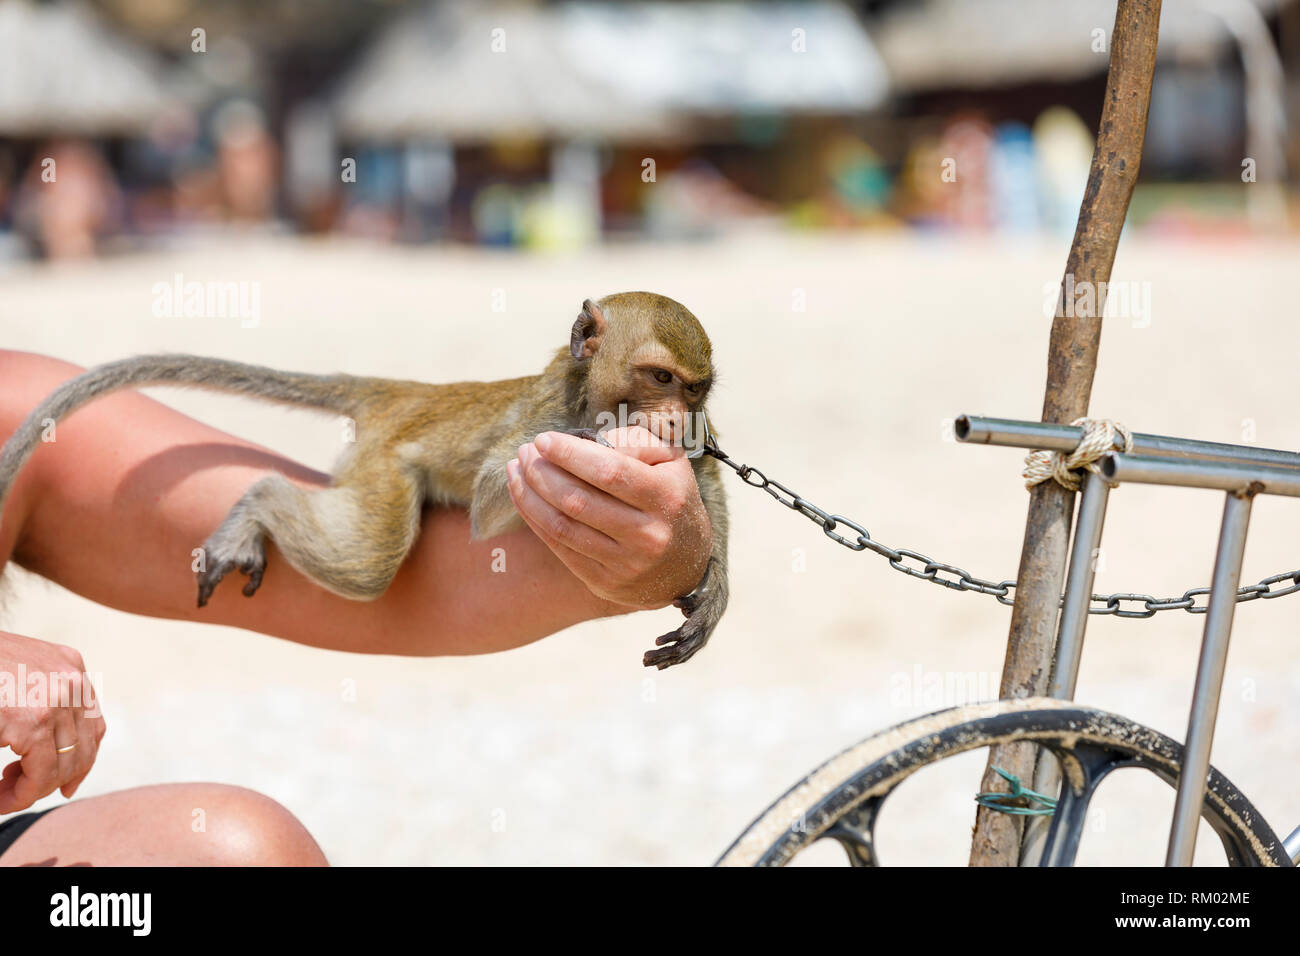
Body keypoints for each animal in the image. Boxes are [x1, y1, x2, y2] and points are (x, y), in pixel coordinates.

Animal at [0, 292, 727, 669]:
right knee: (370, 561)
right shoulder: (550, 407)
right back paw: (260, 498)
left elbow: (708, 485)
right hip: (383, 462)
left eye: (694, 389)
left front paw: (712, 589)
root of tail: (408, 396)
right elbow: (491, 499)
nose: (675, 421)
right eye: (659, 377)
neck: (591, 396)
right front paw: (599, 444)